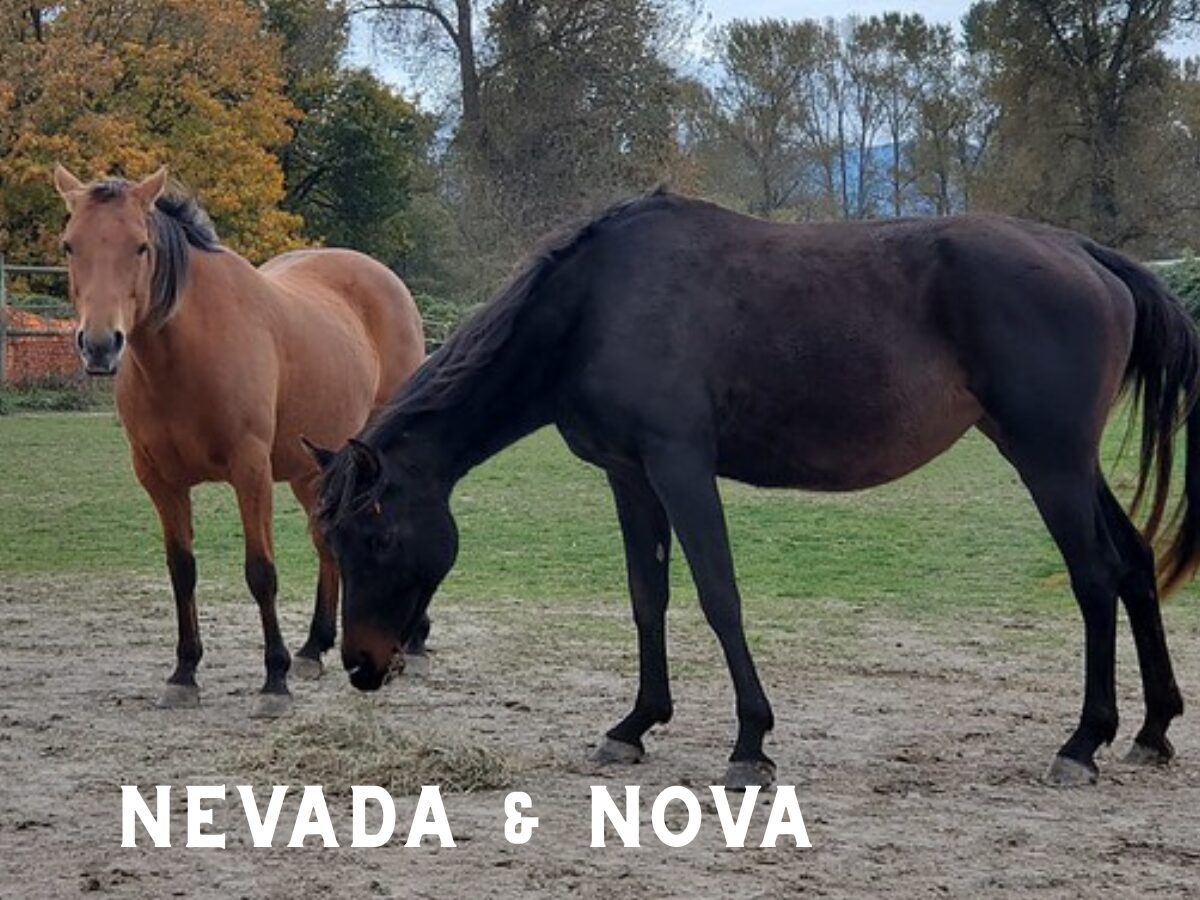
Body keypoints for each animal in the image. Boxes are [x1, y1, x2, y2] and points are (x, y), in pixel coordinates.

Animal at [53, 165, 427, 717]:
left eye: (141, 246)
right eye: (69, 245)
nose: (100, 345)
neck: (187, 353)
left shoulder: (250, 471)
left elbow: (260, 572)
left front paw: (274, 681)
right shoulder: (159, 480)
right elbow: (181, 570)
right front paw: (184, 673)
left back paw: (410, 646)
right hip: (312, 469)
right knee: (327, 542)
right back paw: (314, 648)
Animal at [308, 188, 1200, 787]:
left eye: (378, 534)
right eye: (335, 539)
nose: (361, 664)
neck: (595, 308)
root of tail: (1087, 254)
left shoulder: (680, 467)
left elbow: (718, 596)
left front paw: (749, 743)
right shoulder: (629, 477)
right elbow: (648, 597)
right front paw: (635, 725)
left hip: (1050, 462)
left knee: (1094, 578)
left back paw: (1083, 742)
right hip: (1064, 463)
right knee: (1132, 563)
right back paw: (1152, 728)